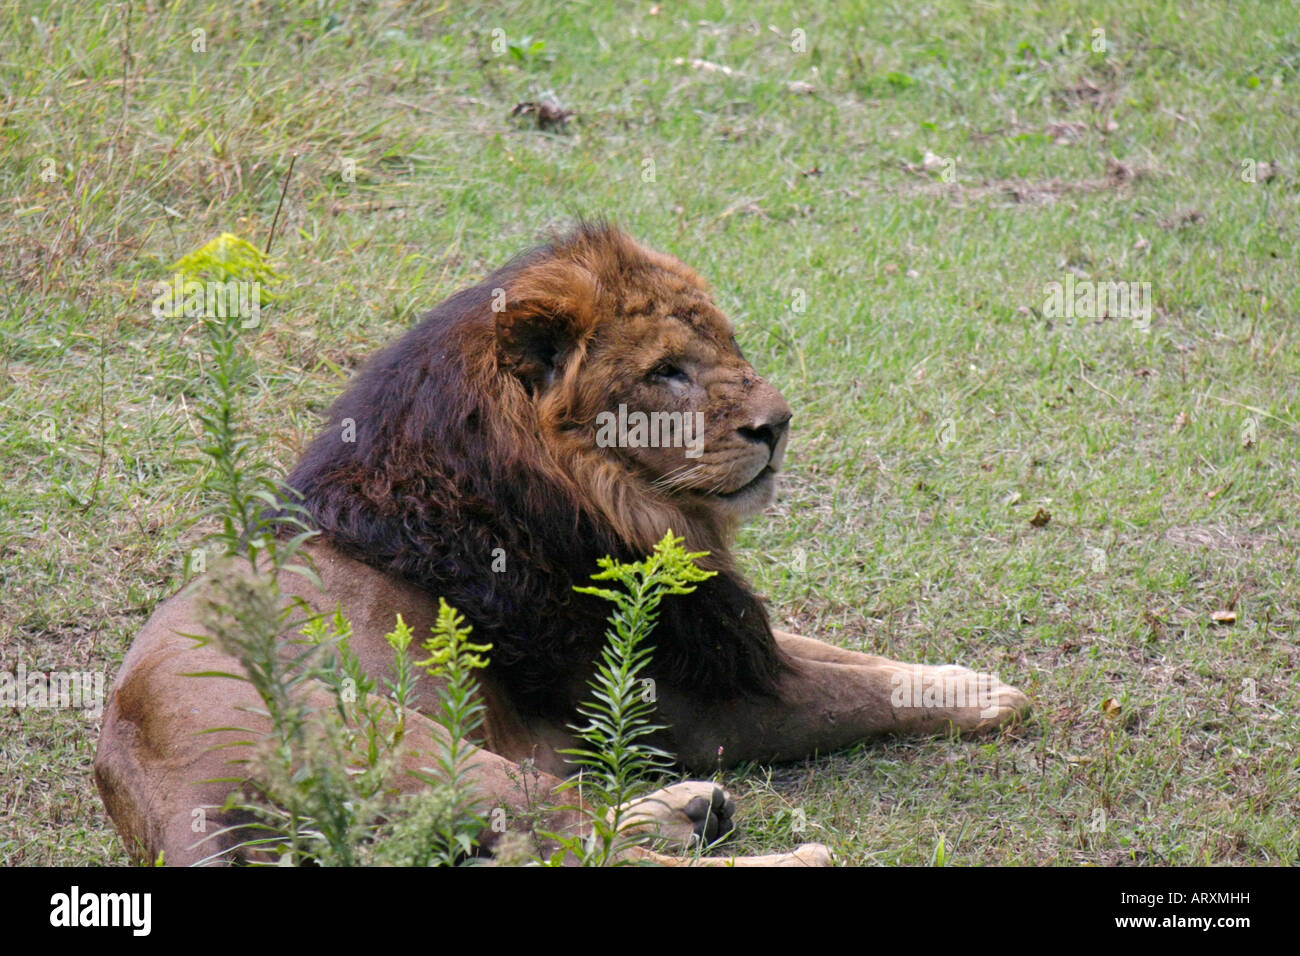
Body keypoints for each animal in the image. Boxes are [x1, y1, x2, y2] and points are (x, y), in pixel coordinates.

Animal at [95, 223, 1030, 866]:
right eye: (666, 371)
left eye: (727, 345)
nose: (779, 424)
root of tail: (155, 796)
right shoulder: (686, 702)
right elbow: (847, 696)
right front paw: (984, 700)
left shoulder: (715, 633)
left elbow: (841, 654)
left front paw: (969, 679)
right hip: (421, 748)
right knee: (594, 851)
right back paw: (785, 852)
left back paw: (691, 811)